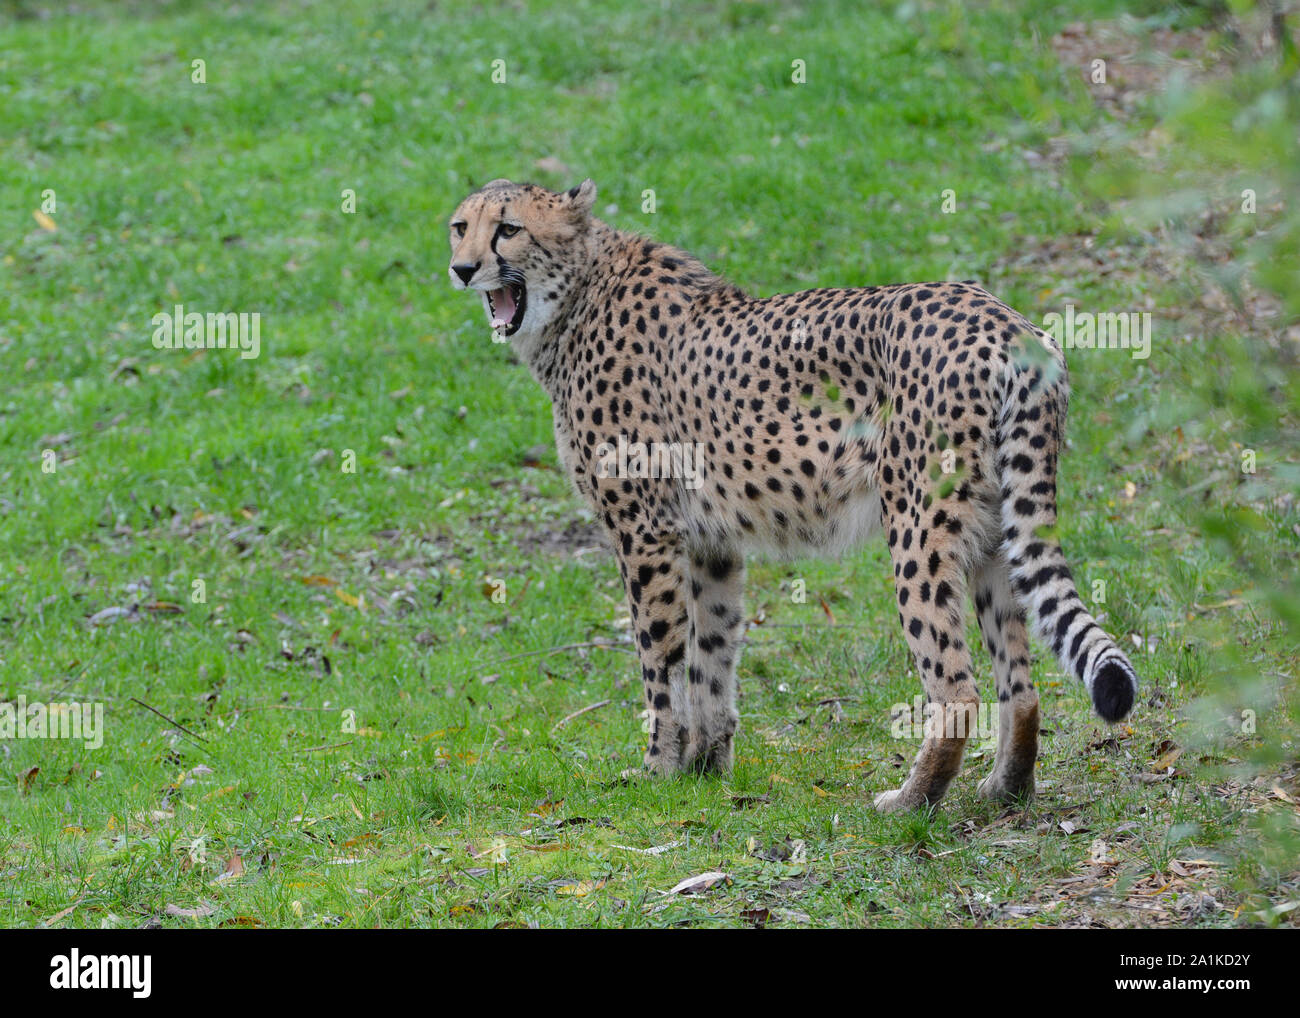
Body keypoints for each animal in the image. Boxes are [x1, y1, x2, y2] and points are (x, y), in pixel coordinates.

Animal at [447, 177, 1139, 811]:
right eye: (460, 227)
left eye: (507, 228)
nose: (462, 268)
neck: (575, 296)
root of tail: (1007, 320)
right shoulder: (711, 542)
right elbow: (713, 653)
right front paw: (707, 768)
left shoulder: (644, 532)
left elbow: (660, 659)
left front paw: (659, 771)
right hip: (996, 528)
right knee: (1020, 681)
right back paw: (1005, 788)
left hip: (917, 524)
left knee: (956, 688)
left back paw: (910, 801)